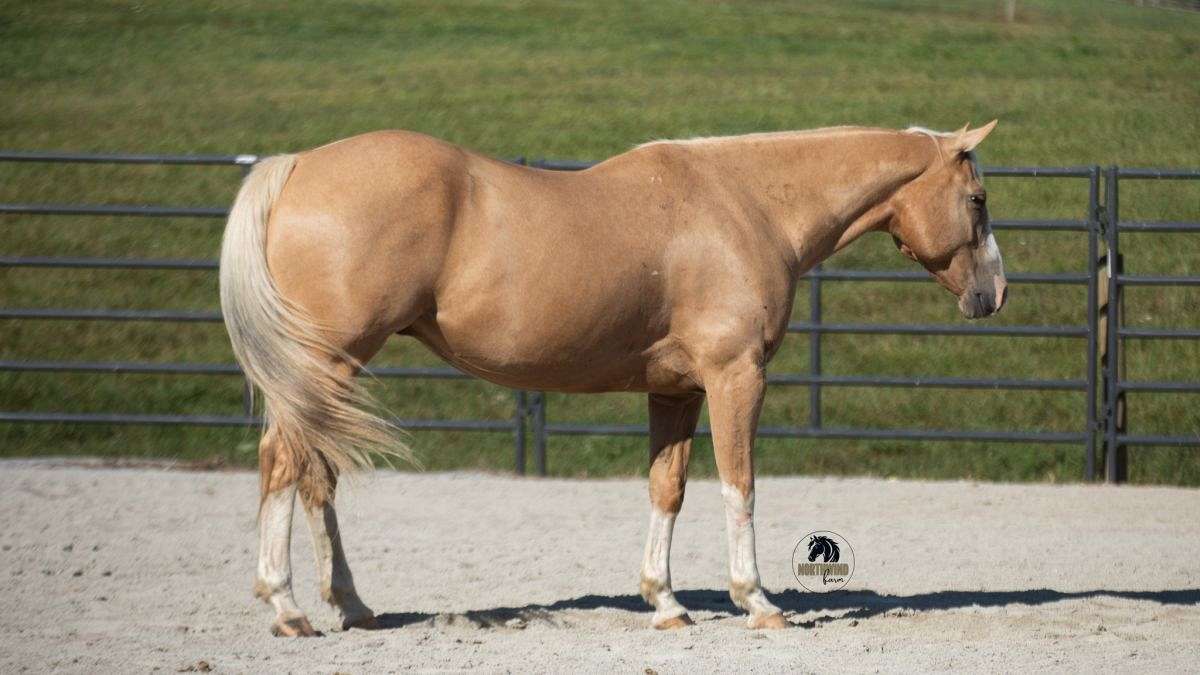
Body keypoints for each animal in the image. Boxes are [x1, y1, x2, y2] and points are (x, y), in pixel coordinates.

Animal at [219, 121, 1005, 636]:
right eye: (978, 199)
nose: (994, 294)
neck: (746, 205)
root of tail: (297, 167)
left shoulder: (677, 391)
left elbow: (669, 488)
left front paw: (666, 603)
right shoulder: (736, 378)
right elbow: (740, 484)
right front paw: (756, 601)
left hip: (327, 374)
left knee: (314, 472)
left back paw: (350, 605)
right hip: (327, 363)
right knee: (284, 463)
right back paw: (287, 607)